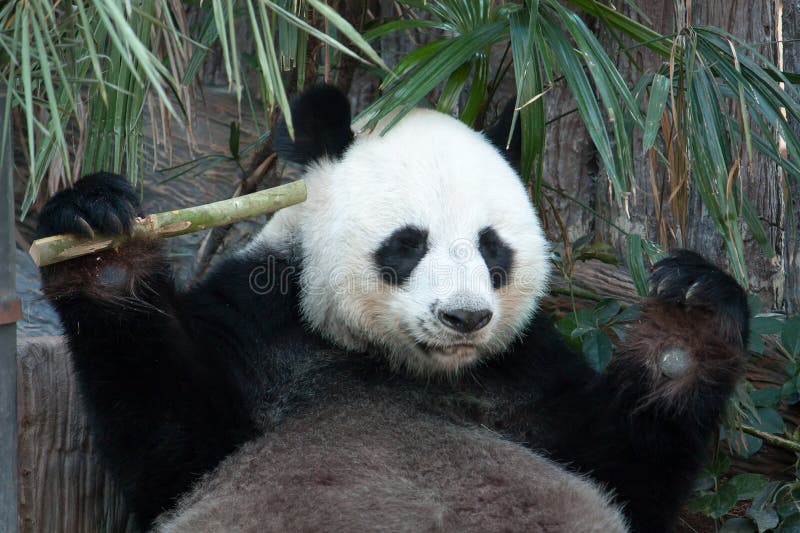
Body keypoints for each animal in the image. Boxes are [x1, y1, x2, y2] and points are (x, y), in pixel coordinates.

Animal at [37, 85, 750, 533]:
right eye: (408, 244)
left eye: (493, 248)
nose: (465, 318)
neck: (394, 365)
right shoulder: (259, 327)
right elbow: (171, 443)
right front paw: (101, 240)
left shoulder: (524, 374)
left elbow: (623, 470)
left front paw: (689, 317)